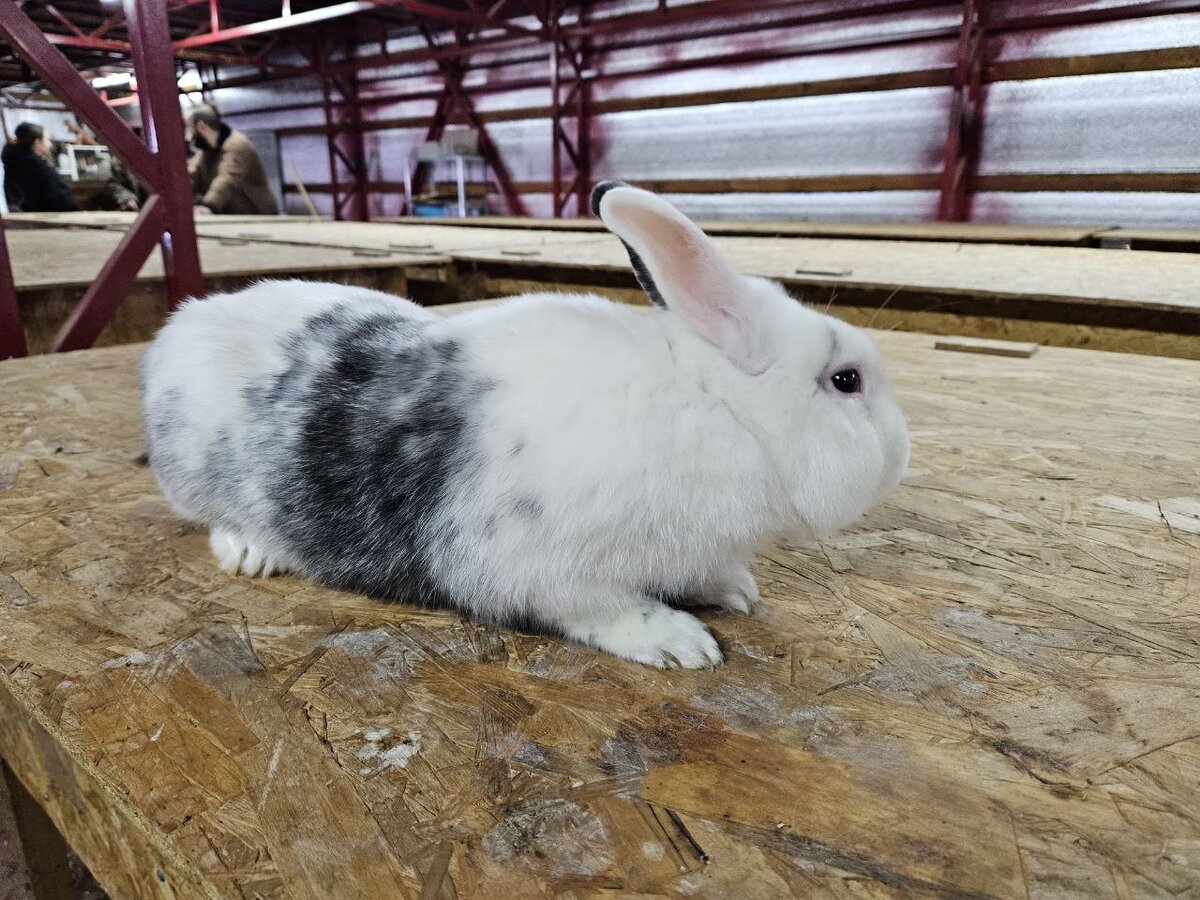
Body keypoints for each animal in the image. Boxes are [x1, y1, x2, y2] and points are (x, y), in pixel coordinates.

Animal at [140, 184, 902, 672]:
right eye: (846, 381)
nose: (902, 455)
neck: (717, 408)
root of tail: (177, 332)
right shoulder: (546, 569)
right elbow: (603, 610)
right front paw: (680, 643)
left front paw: (733, 588)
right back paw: (251, 550)